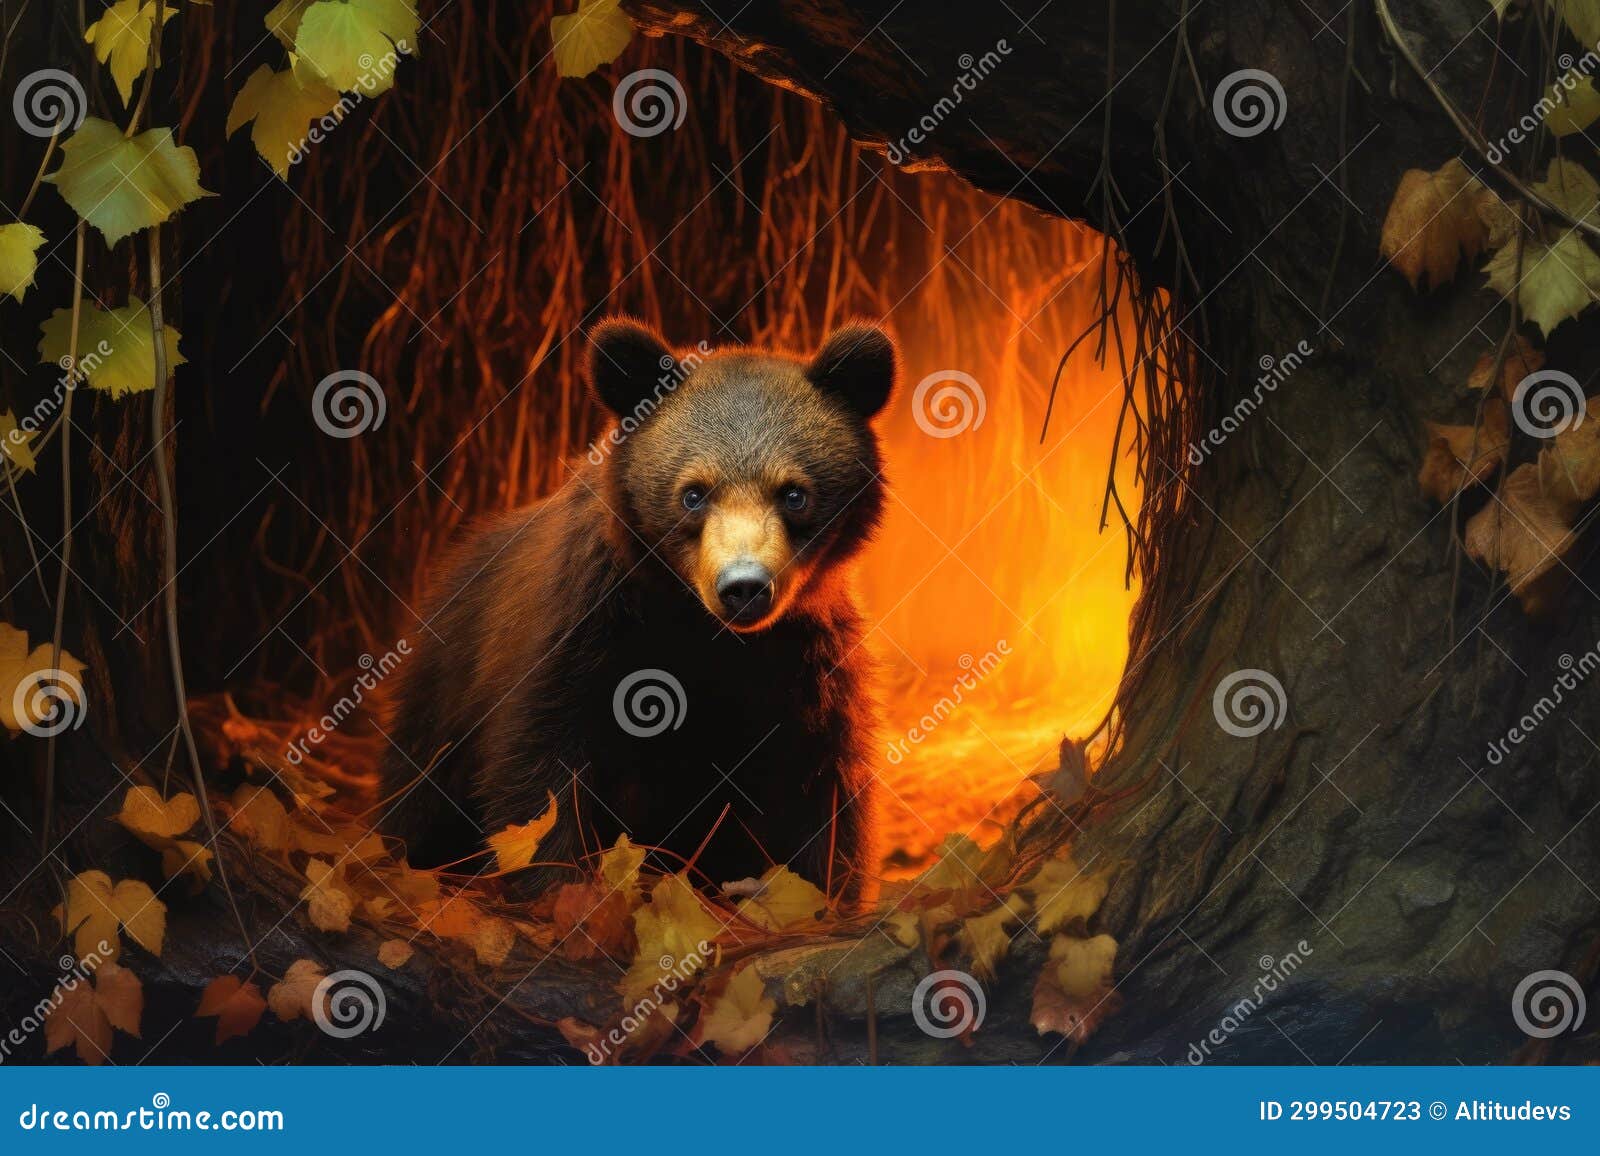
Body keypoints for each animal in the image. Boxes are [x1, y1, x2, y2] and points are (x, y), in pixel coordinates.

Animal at [377, 317, 897, 907]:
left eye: (793, 494)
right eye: (693, 494)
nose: (743, 588)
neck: (705, 631)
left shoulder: (807, 656)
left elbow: (819, 782)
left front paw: (819, 895)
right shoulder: (587, 628)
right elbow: (541, 767)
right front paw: (556, 886)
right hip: (444, 687)